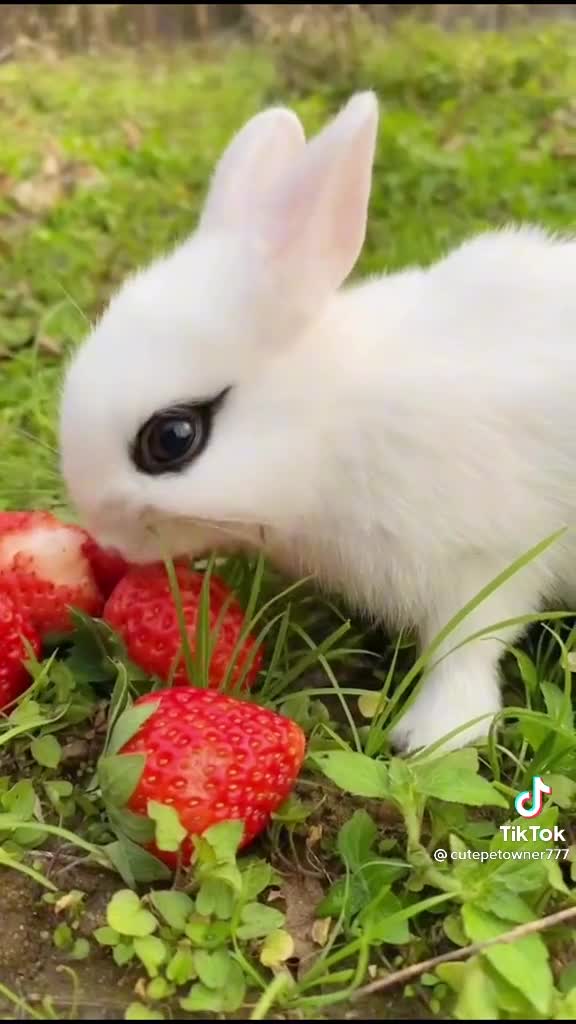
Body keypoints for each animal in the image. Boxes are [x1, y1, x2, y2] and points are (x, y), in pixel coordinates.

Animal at [59, 91, 576, 754]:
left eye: (173, 439)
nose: (103, 537)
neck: (333, 429)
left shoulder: (487, 557)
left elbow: (466, 647)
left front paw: (434, 735)